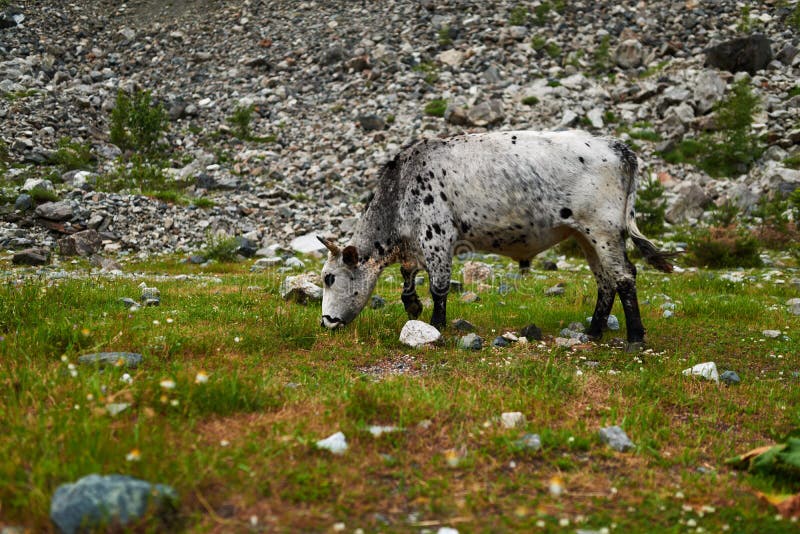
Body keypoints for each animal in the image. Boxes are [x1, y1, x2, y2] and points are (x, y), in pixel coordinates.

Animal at [317, 130, 675, 349]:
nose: (325, 322)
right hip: (585, 236)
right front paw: (413, 307)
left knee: (624, 276)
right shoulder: (416, 248)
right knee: (606, 281)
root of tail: (617, 147)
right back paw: (593, 330)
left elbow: (438, 287)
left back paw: (635, 338)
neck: (402, 186)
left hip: (603, 230)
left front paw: (436, 325)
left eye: (329, 277)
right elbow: (408, 278)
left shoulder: (438, 238)